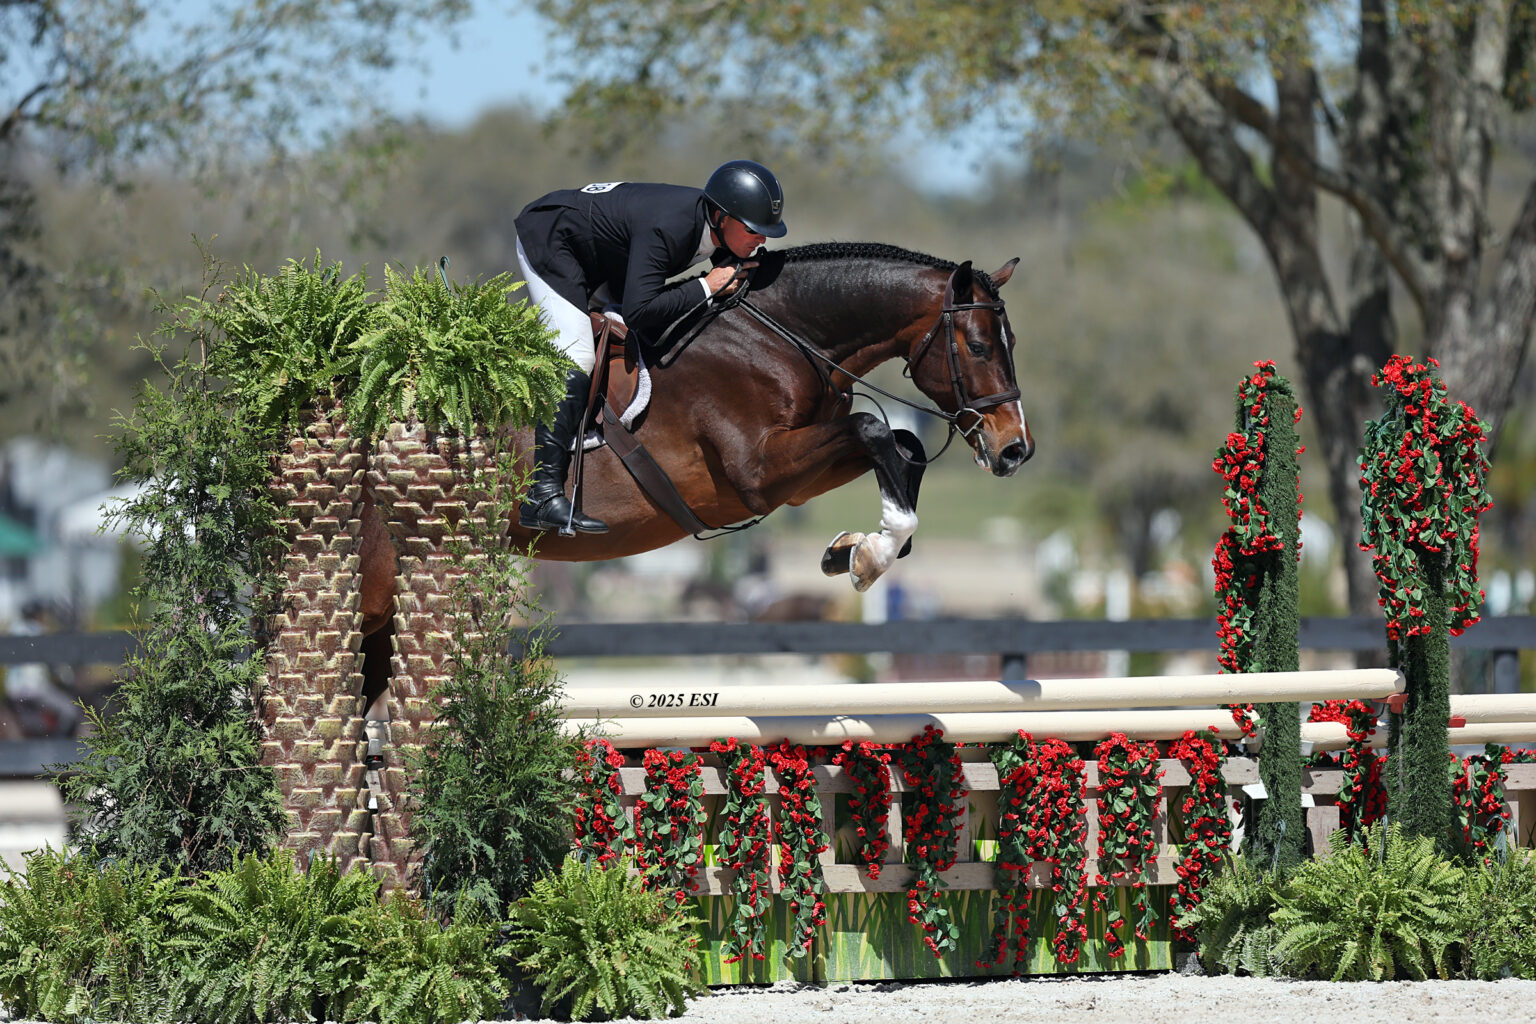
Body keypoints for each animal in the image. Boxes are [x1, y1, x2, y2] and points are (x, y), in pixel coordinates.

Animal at [353, 242, 1033, 700]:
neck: (777, 337)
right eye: (978, 346)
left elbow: (900, 444)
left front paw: (851, 548)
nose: (1014, 450)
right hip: (375, 588)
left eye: (1011, 344)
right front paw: (869, 556)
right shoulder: (758, 473)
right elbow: (873, 430)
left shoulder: (795, 477)